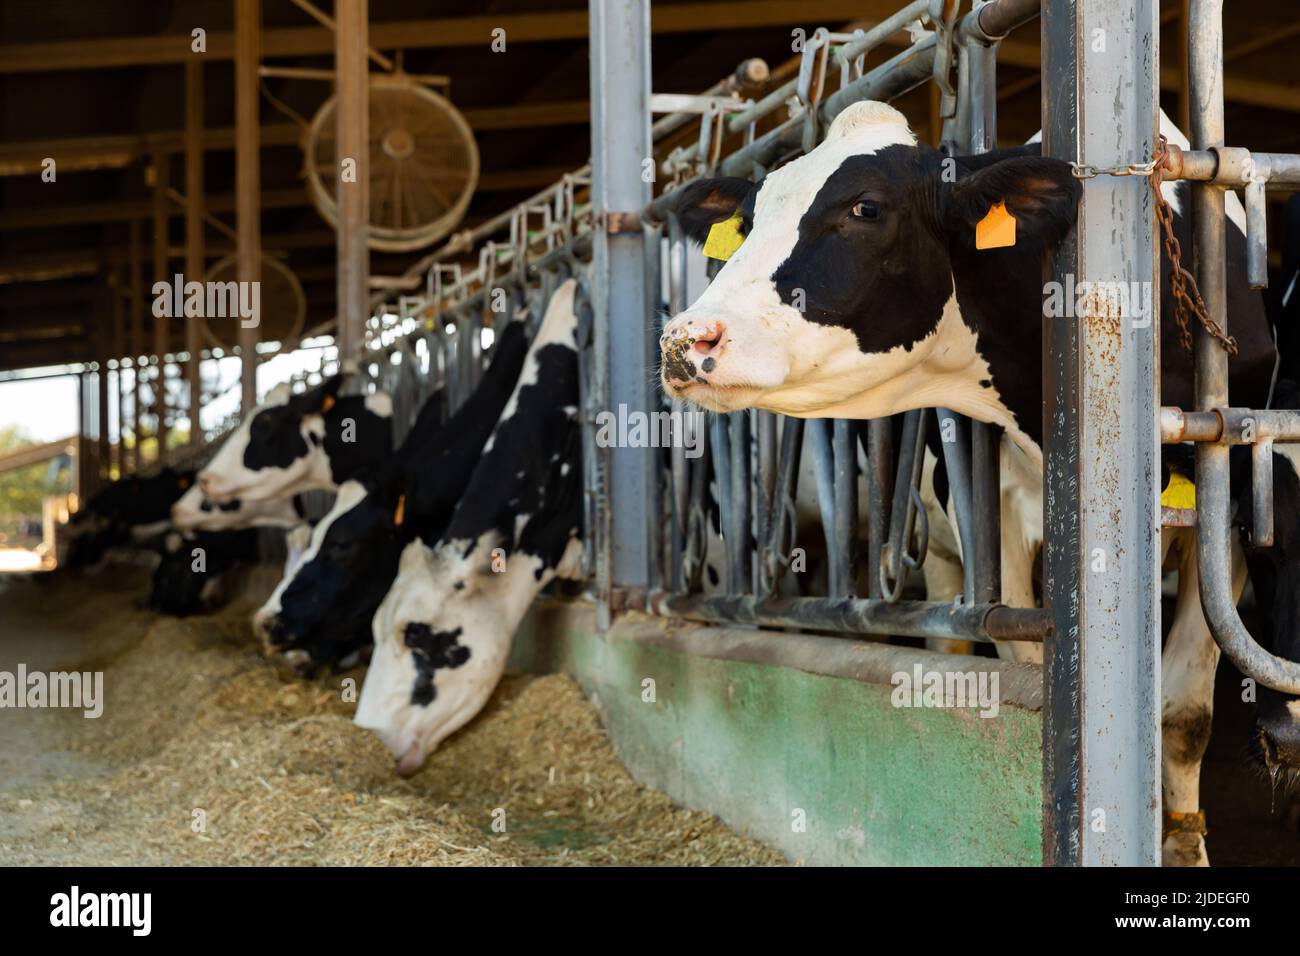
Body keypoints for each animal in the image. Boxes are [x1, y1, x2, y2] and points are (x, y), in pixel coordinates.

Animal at [656, 100, 1289, 866]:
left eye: (866, 207)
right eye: (747, 219)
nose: (686, 339)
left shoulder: (1225, 497)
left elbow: (1186, 713)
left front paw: (1185, 850)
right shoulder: (993, 525)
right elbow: (1026, 670)